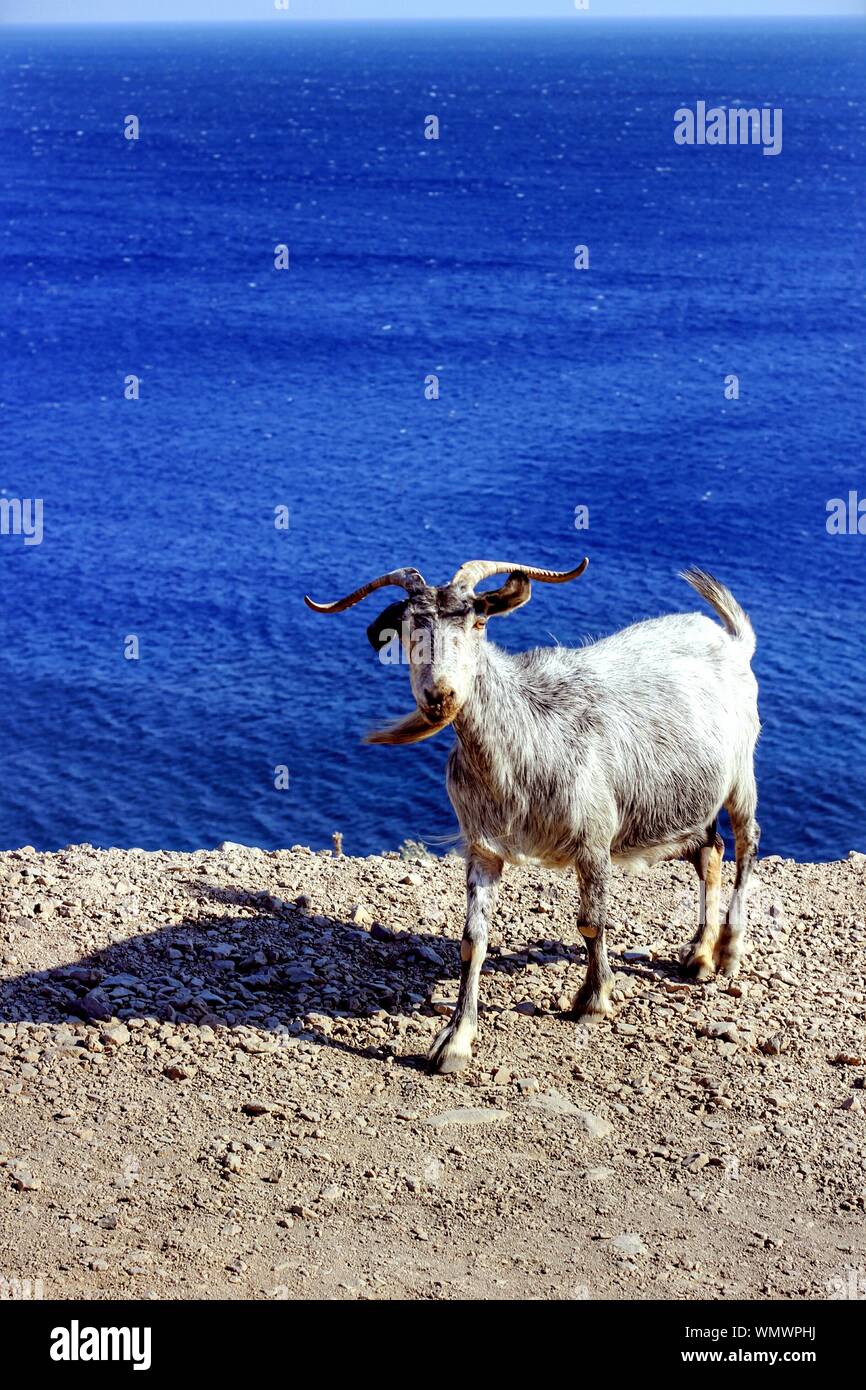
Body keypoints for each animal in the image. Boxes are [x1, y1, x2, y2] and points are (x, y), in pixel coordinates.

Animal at [305, 559, 761, 1074]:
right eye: (407, 628)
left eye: (478, 620)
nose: (440, 695)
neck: (525, 739)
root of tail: (731, 641)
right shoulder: (482, 848)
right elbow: (473, 939)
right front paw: (455, 1040)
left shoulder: (594, 840)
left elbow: (591, 922)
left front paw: (593, 1000)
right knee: (710, 851)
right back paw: (699, 954)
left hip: (741, 772)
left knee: (746, 843)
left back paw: (729, 951)